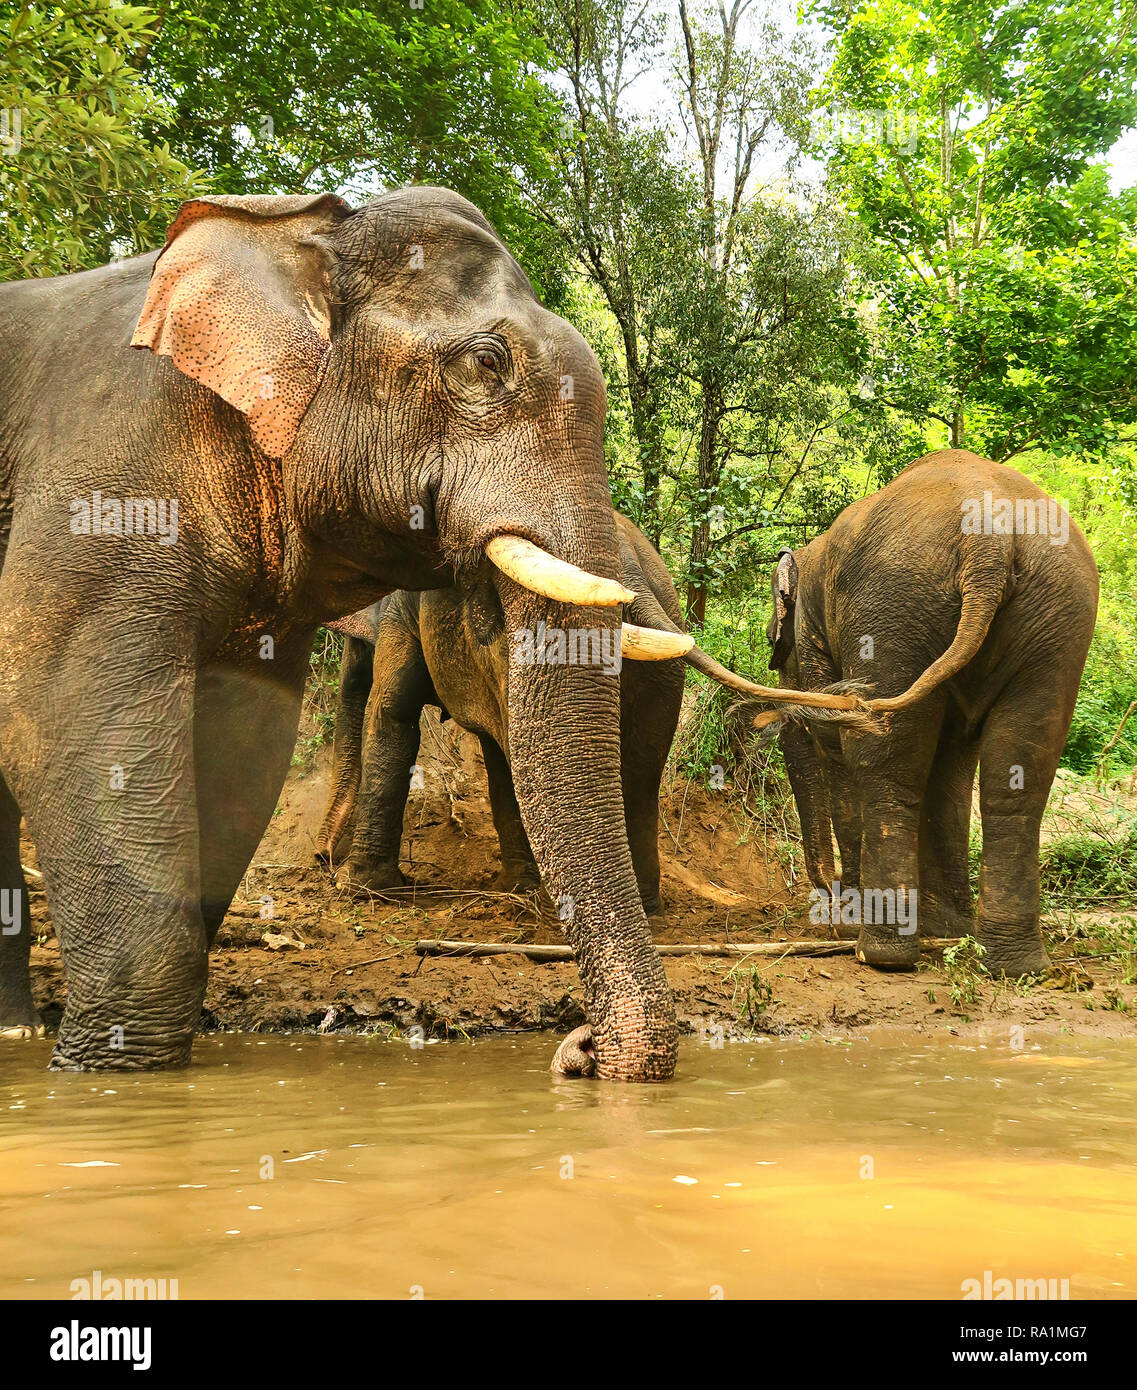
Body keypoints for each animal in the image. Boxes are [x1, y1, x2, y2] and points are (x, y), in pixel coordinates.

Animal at [0, 187, 854, 1078]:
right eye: (483, 366)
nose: (580, 1048)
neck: (293, 231)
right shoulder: (103, 481)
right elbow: (61, 722)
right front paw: (114, 1073)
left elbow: (246, 741)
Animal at [764, 448, 1099, 975]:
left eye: (778, 651)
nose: (826, 900)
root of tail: (988, 546)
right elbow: (953, 760)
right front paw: (945, 931)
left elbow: (838, 748)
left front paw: (851, 928)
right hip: (1057, 615)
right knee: (1017, 773)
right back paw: (1010, 962)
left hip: (893, 609)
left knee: (882, 760)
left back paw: (877, 951)